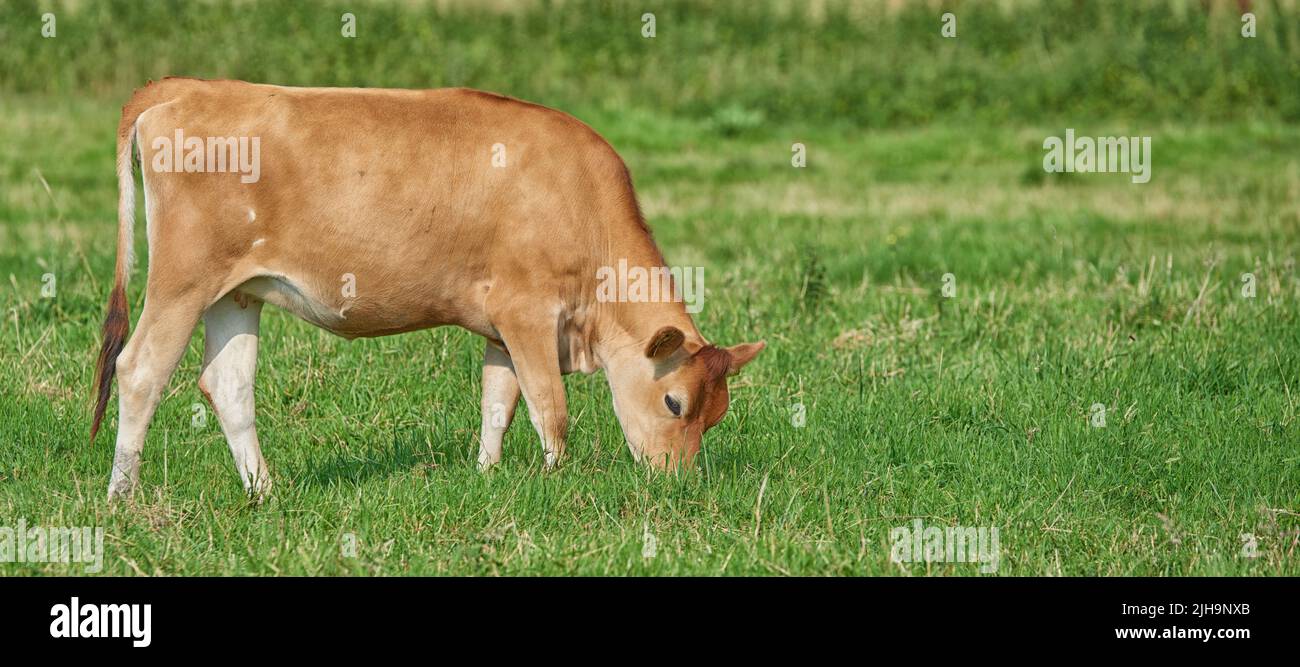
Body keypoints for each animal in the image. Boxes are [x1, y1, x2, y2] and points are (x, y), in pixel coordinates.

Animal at [90, 78, 764, 500]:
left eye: (717, 416)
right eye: (674, 403)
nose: (675, 482)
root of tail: (186, 85)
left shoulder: (500, 324)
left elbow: (498, 403)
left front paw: (488, 477)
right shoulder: (527, 310)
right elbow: (550, 408)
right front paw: (556, 483)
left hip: (237, 290)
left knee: (228, 384)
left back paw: (265, 491)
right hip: (182, 280)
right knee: (139, 369)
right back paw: (122, 494)